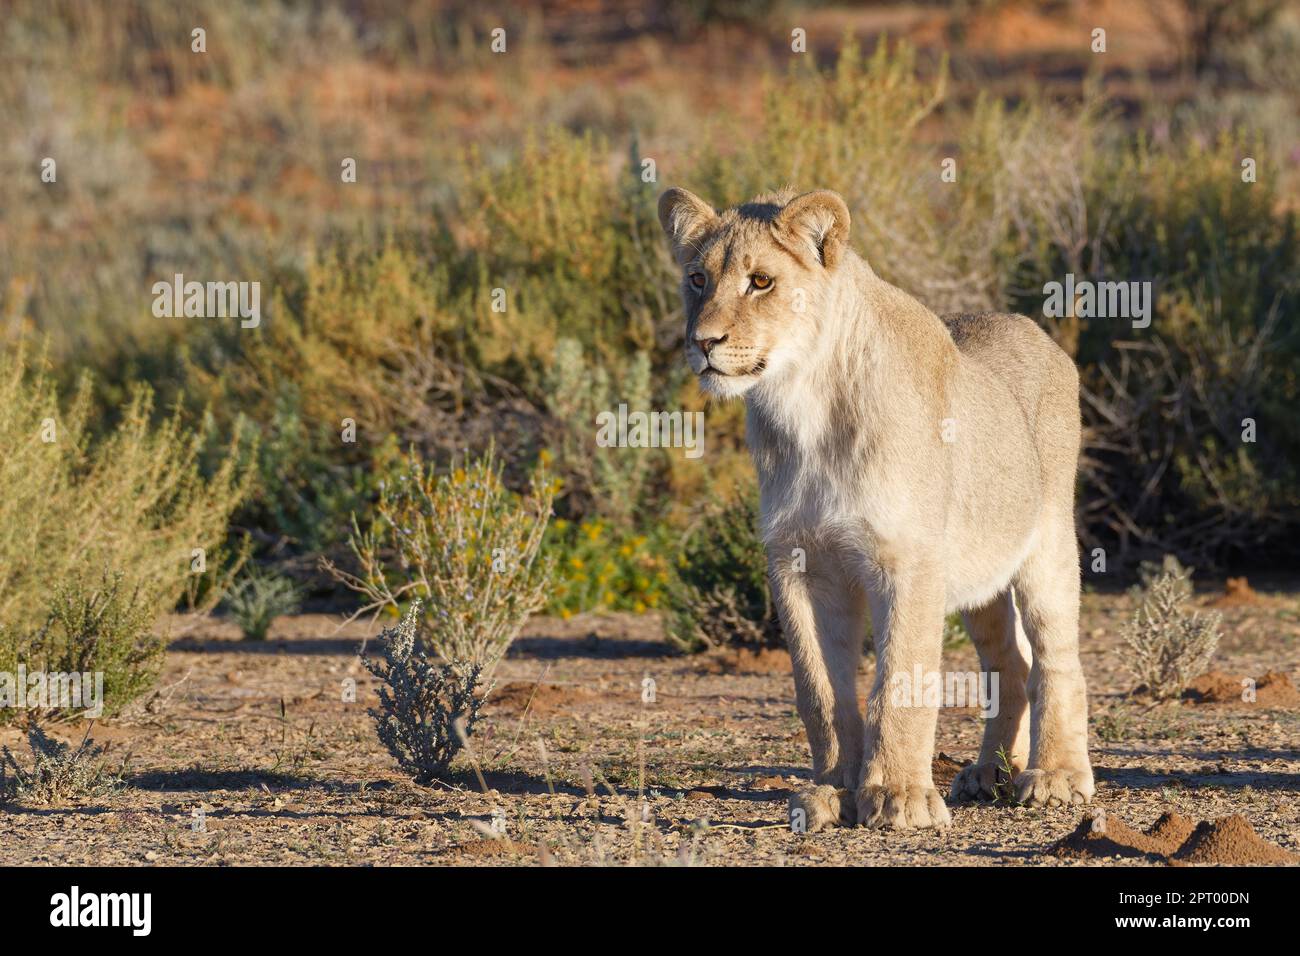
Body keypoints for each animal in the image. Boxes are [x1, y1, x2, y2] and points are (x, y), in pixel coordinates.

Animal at [657, 186, 1094, 830]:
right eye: (696, 279)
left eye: (761, 282)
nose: (703, 343)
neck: (803, 405)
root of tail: (1032, 329)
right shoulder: (801, 562)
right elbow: (819, 688)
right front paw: (834, 789)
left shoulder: (908, 561)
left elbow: (900, 681)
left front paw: (898, 796)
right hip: (977, 576)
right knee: (1008, 662)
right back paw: (989, 773)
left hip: (1046, 540)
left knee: (1054, 656)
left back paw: (1055, 776)